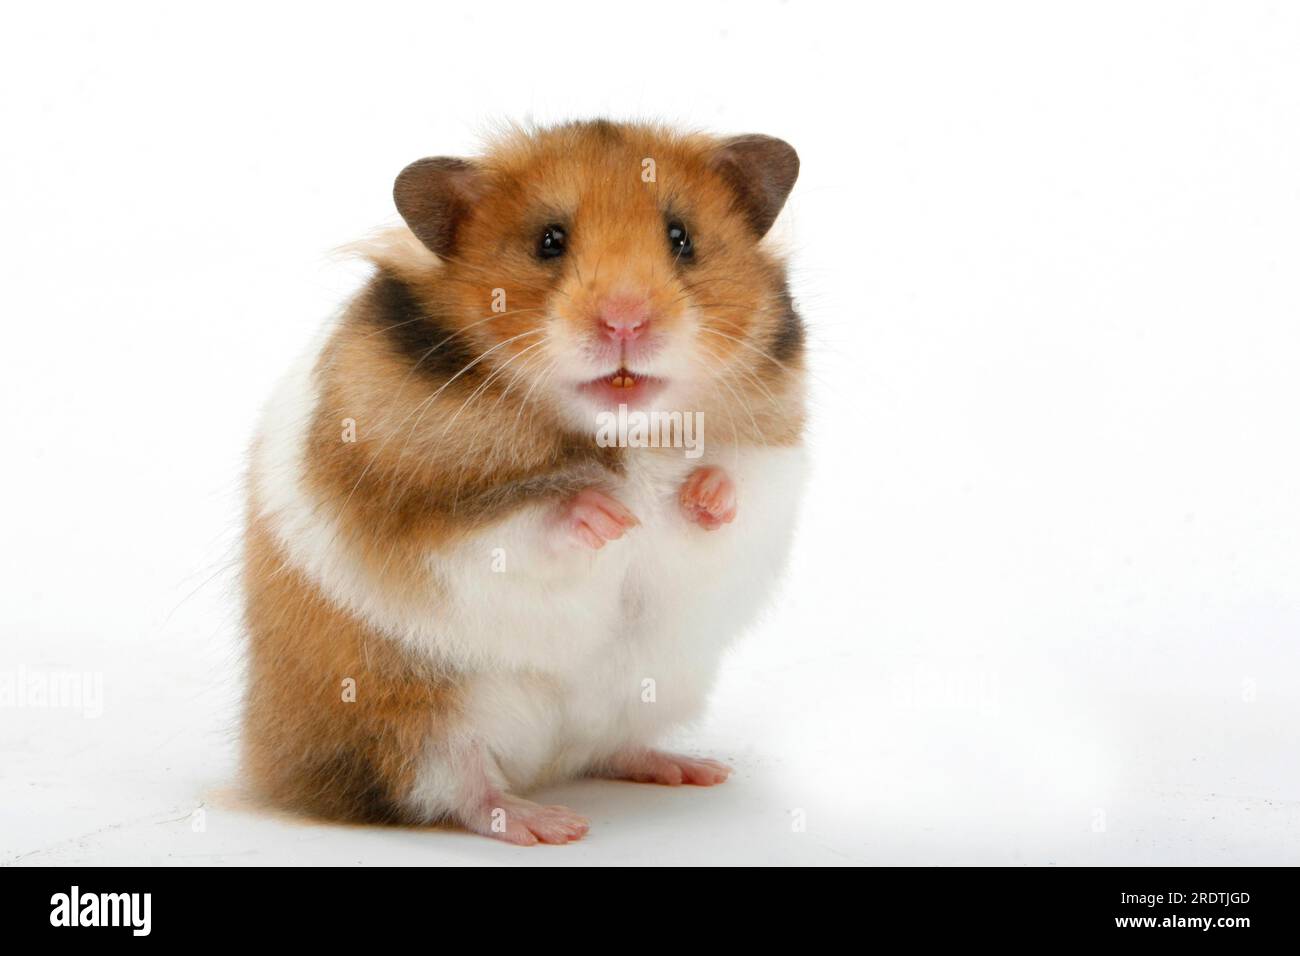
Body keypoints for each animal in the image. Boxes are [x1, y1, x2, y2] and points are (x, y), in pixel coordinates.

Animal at [242, 120, 808, 844]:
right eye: (549, 241)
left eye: (681, 237)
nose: (626, 320)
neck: (618, 432)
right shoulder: (432, 524)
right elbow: (528, 523)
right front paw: (611, 514)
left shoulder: (777, 467)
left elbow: (740, 485)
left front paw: (699, 494)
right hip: (414, 717)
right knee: (455, 788)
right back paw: (549, 826)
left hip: (647, 693)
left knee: (607, 749)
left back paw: (691, 769)